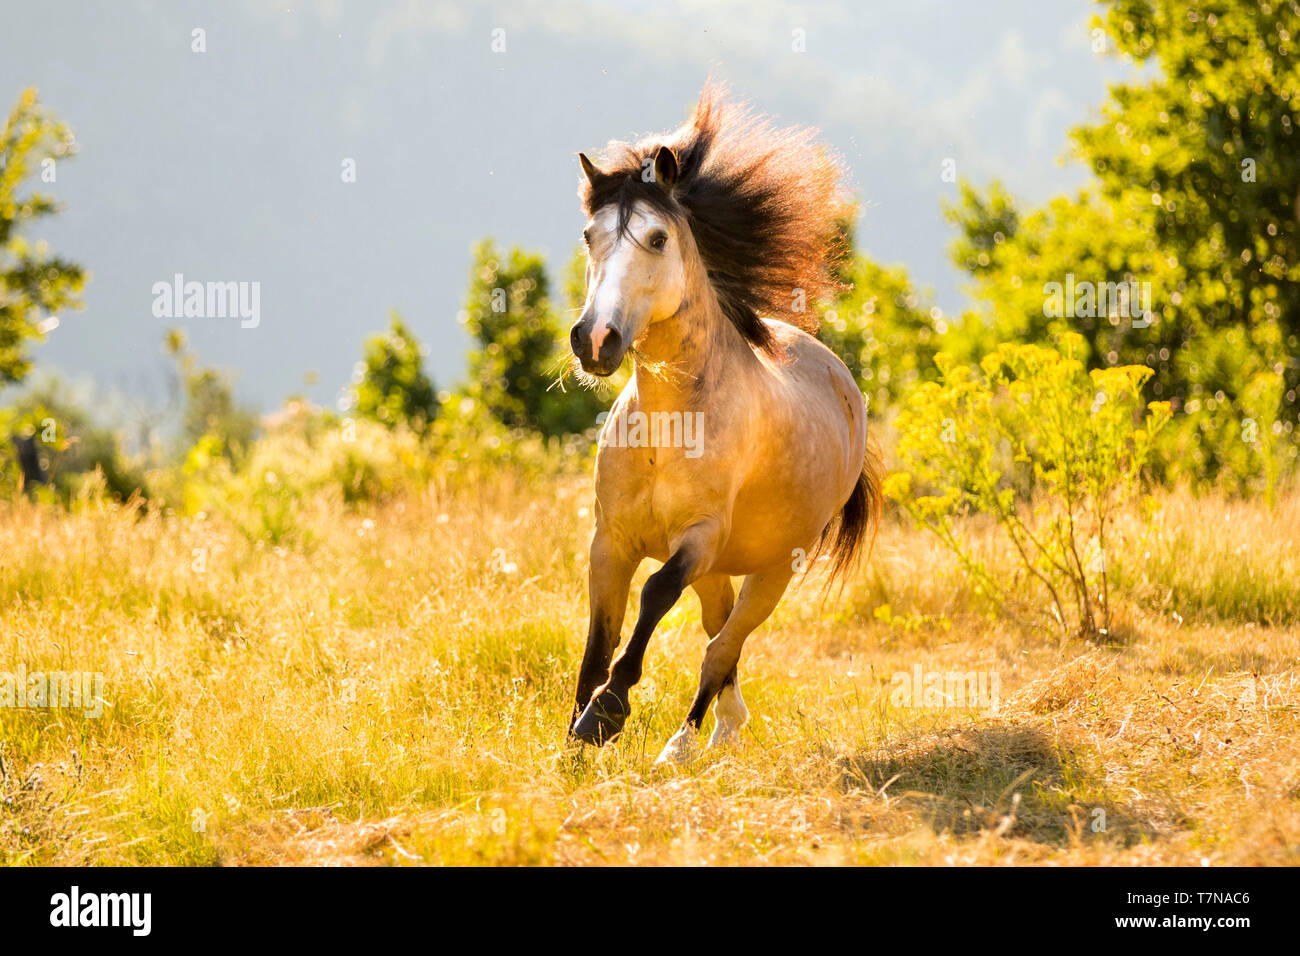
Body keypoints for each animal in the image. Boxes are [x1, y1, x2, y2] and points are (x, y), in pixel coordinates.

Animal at [566, 86, 882, 766]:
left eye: (657, 237)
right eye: (588, 235)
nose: (595, 340)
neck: (667, 433)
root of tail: (841, 379)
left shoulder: (700, 538)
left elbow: (655, 595)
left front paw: (607, 712)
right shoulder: (610, 541)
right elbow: (599, 634)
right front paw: (573, 736)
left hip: (774, 568)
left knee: (722, 647)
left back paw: (683, 746)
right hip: (720, 571)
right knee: (722, 632)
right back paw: (725, 726)